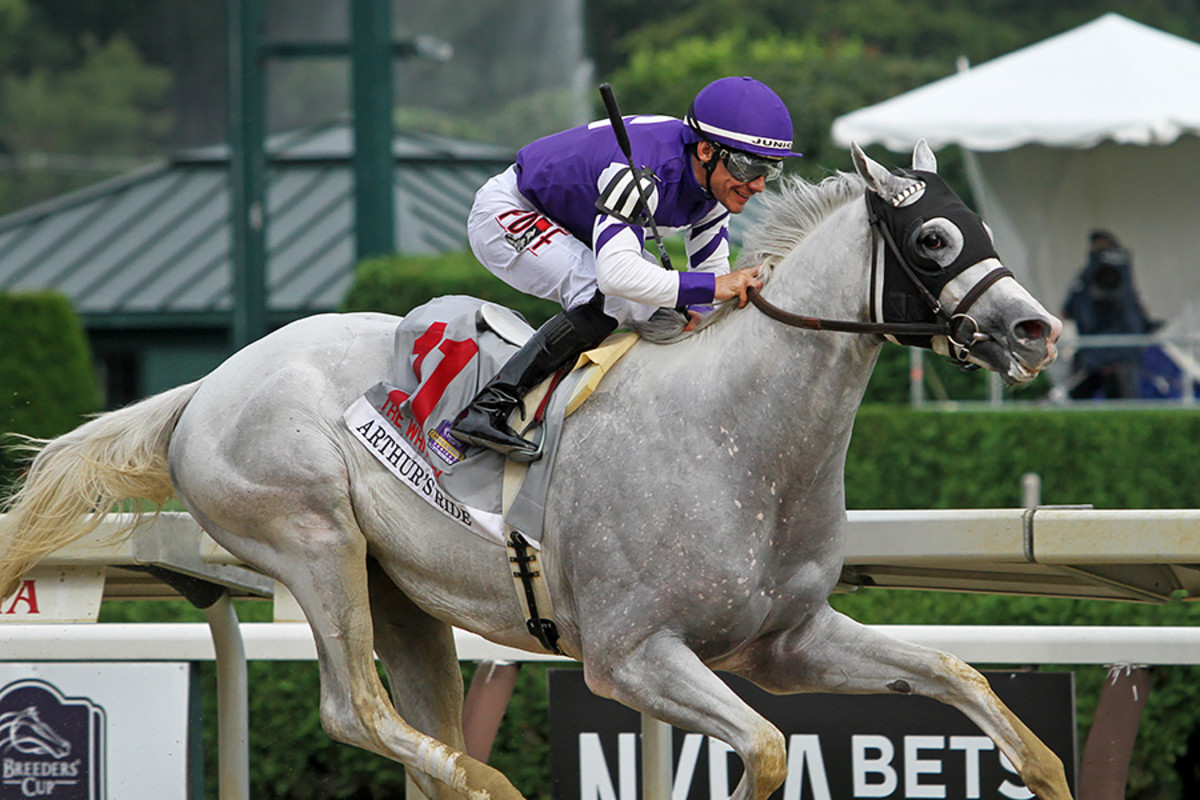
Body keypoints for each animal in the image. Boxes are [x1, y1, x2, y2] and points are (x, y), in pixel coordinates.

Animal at [0, 141, 1070, 800]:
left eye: (980, 226)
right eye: (934, 237)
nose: (1037, 330)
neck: (741, 440)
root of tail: (204, 386)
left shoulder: (786, 643)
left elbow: (961, 677)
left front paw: (1044, 771)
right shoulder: (633, 655)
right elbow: (767, 750)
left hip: (402, 595)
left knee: (416, 720)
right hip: (311, 538)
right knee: (356, 708)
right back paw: (488, 781)